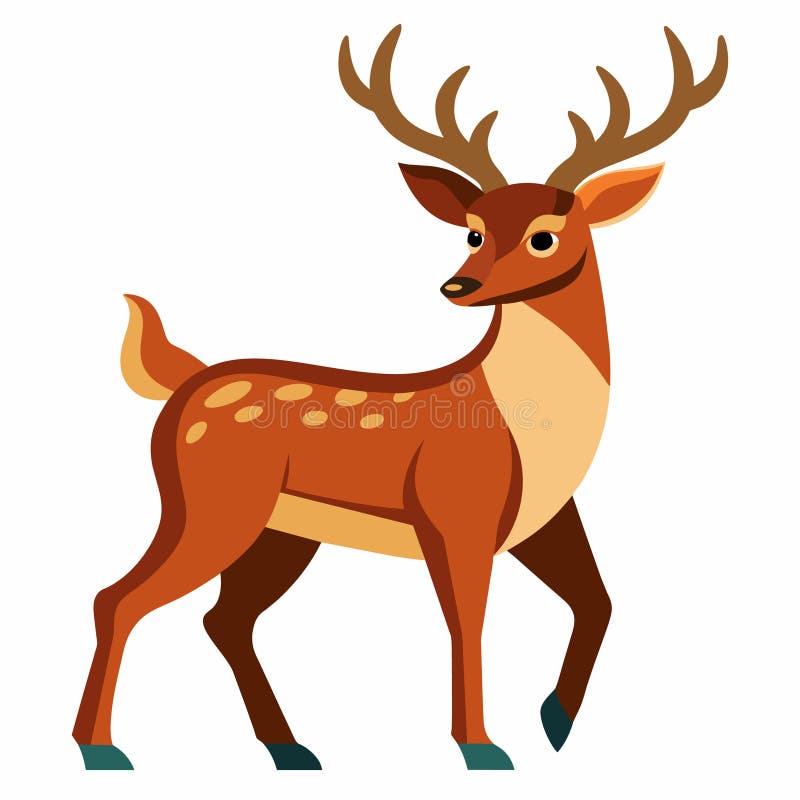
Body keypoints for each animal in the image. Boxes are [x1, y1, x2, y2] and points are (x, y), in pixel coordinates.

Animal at [73, 24, 727, 771]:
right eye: (472, 229)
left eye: (544, 235)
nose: (458, 285)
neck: (536, 427)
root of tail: (184, 381)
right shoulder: (454, 510)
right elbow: (468, 624)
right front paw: (482, 748)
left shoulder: (547, 518)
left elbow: (599, 600)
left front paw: (555, 721)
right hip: (210, 502)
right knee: (117, 598)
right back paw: (102, 750)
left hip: (281, 529)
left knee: (224, 618)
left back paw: (291, 749)